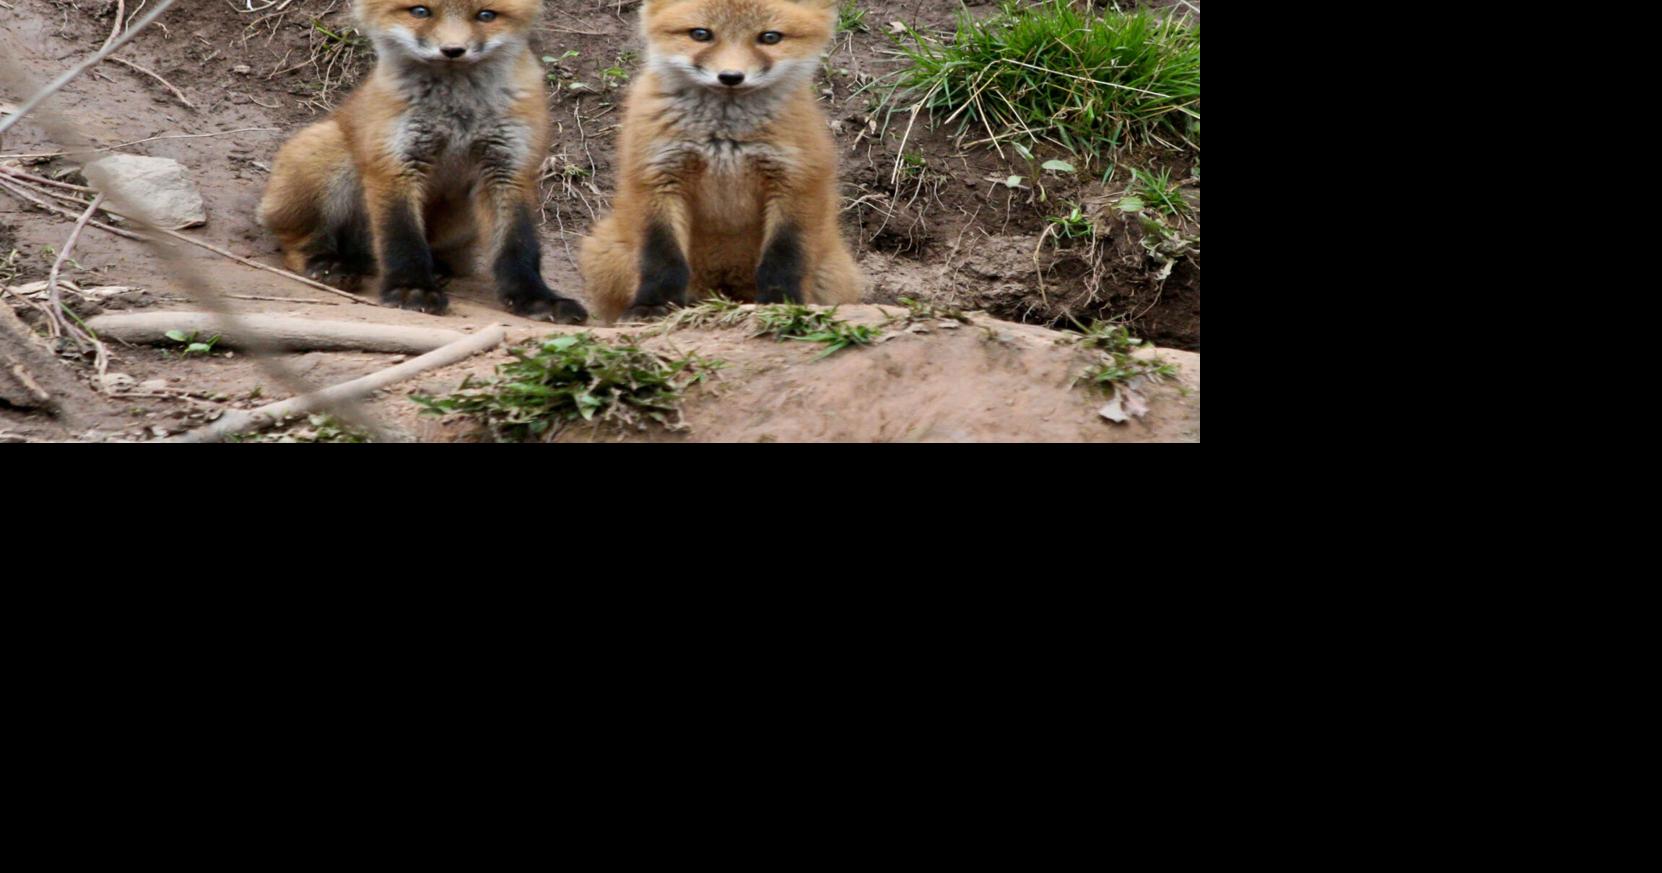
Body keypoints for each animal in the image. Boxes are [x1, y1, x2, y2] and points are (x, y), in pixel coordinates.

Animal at [258, 0, 588, 322]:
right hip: (327, 153)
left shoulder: (508, 169)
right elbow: (402, 236)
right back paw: (327, 263)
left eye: (486, 15)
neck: (457, 112)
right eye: (420, 11)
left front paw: (536, 299)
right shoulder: (396, 163)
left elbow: (517, 246)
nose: (453, 50)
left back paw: (436, 268)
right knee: (300, 241)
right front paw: (412, 288)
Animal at [579, 0, 864, 323]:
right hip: (605, 253)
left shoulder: (797, 182)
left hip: (834, 274)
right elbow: (661, 257)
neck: (724, 138)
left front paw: (782, 303)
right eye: (701, 34)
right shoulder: (657, 177)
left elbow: (785, 257)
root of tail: (723, 288)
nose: (730, 76)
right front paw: (652, 305)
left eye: (770, 38)